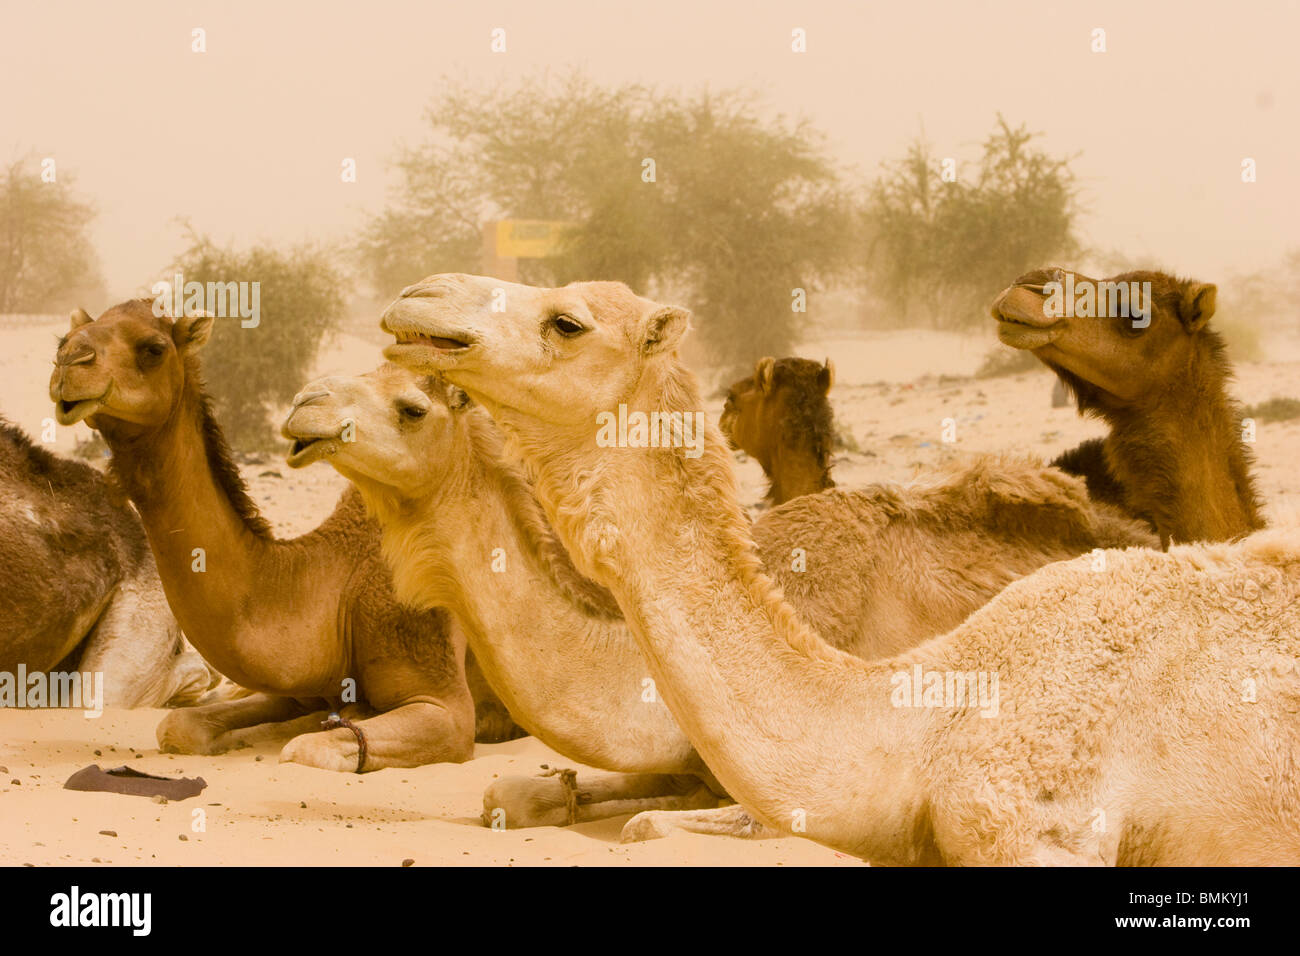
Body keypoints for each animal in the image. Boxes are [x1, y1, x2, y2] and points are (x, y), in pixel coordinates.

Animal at [48, 299, 520, 772]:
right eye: (66, 338)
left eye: (153, 347)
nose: (69, 361)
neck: (336, 586)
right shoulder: (297, 685)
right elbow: (180, 726)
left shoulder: (444, 705)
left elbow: (307, 747)